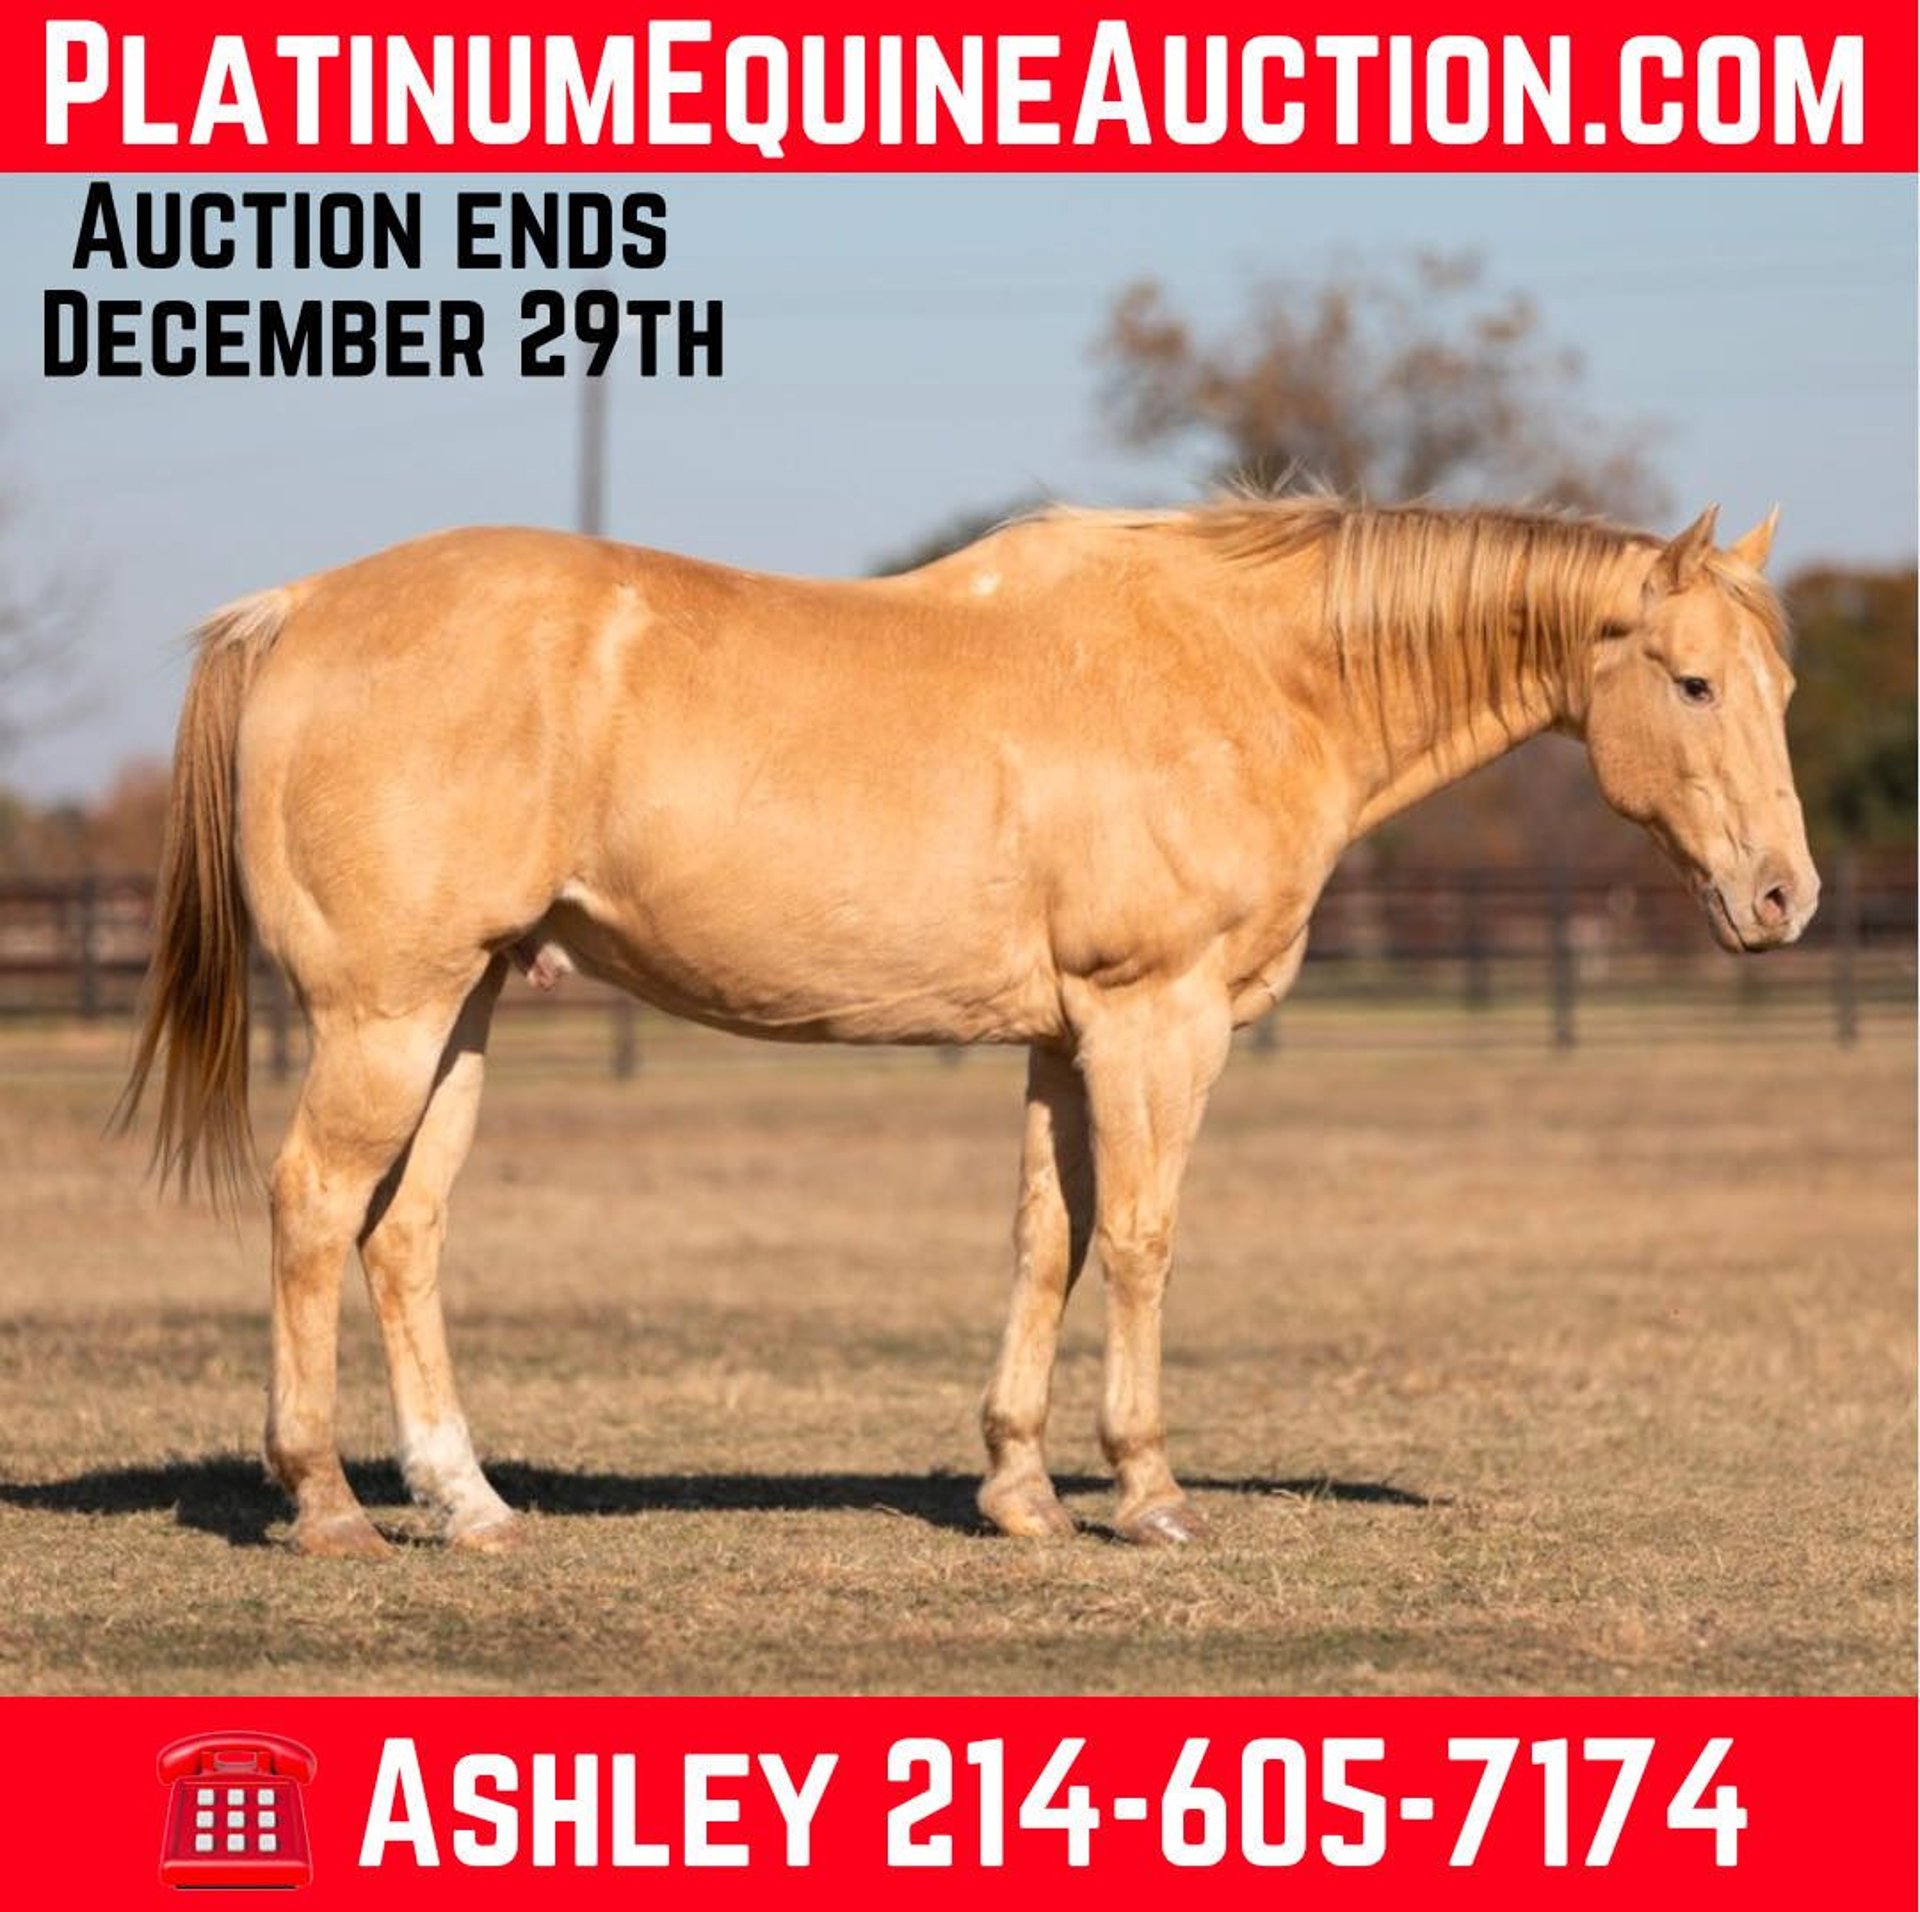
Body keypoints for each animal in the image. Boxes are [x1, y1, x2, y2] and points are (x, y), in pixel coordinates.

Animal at [119, 494, 1817, 1556]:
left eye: (1781, 686)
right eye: (1692, 683)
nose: (1784, 897)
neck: (1249, 670)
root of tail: (294, 612)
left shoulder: (1065, 1042)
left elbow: (1043, 1244)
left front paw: (1019, 1491)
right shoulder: (1155, 1025)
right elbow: (1138, 1242)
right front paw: (1145, 1490)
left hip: (463, 1011)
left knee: (401, 1238)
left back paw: (465, 1502)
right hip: (386, 1017)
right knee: (314, 1208)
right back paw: (328, 1502)